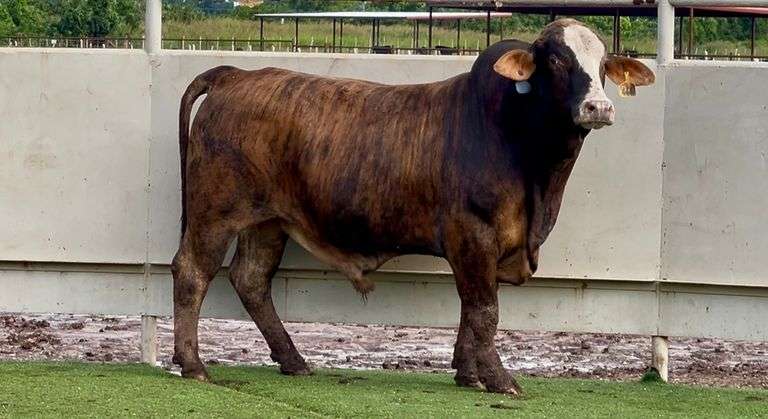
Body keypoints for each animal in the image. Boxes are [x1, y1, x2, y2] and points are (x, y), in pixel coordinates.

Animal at [171, 18, 655, 395]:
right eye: (557, 60)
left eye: (602, 64)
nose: (598, 107)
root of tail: (235, 75)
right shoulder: (474, 236)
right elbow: (484, 311)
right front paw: (499, 379)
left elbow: (471, 310)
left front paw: (468, 373)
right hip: (214, 212)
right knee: (192, 272)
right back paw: (193, 365)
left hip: (267, 221)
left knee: (251, 280)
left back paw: (293, 360)